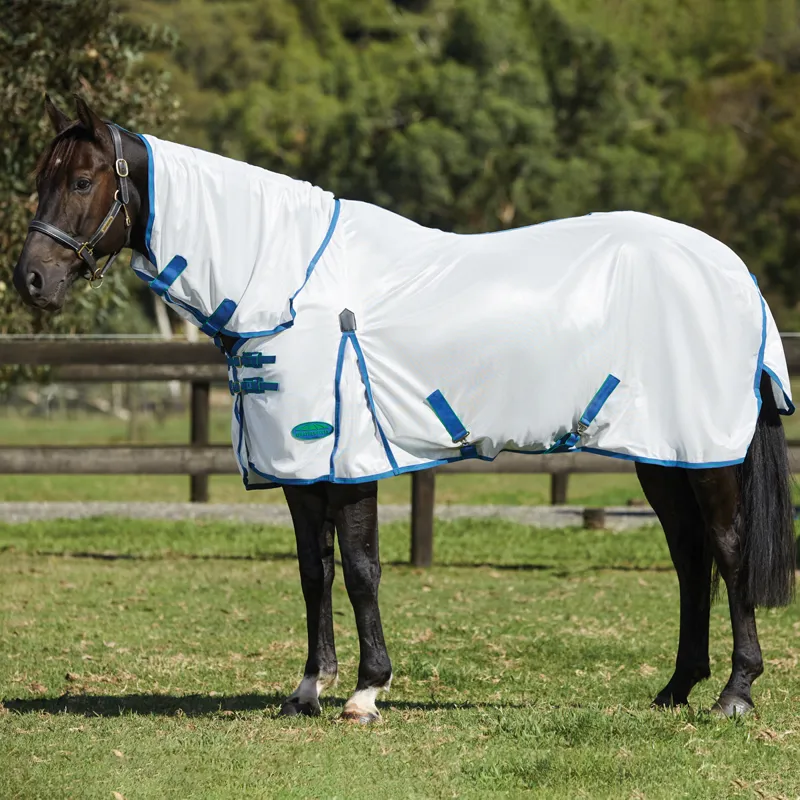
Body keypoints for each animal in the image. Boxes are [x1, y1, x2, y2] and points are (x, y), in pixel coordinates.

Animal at [13, 96, 796, 723]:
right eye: (40, 179)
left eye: (81, 180)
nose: (31, 280)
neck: (291, 281)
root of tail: (738, 274)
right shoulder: (301, 471)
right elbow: (314, 570)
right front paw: (308, 689)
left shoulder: (347, 462)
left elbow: (361, 569)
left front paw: (367, 690)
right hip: (661, 454)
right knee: (690, 558)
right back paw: (675, 689)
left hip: (706, 456)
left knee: (727, 553)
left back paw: (734, 693)